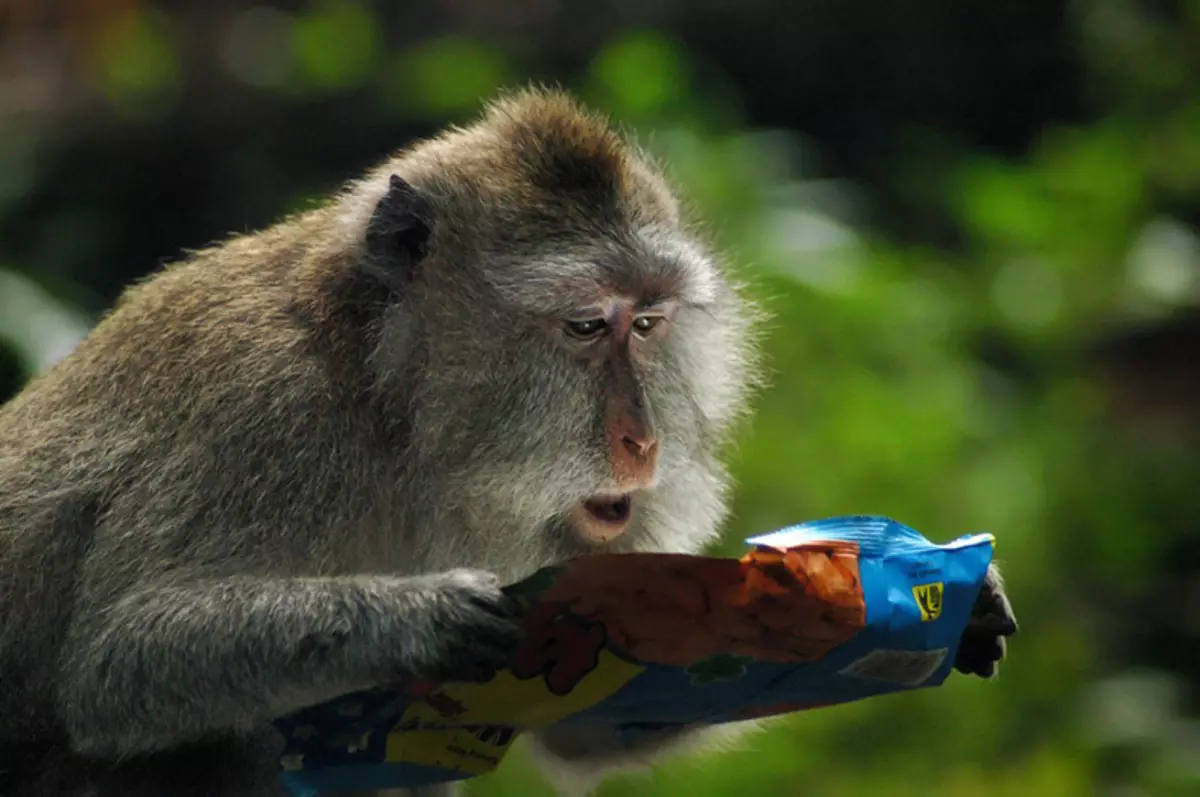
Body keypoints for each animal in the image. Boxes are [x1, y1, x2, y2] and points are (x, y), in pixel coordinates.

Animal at [0, 87, 1017, 797]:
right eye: (585, 327)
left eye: (648, 324)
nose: (641, 441)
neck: (389, 411)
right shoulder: (257, 412)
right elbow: (117, 662)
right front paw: (422, 616)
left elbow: (586, 718)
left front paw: (962, 603)